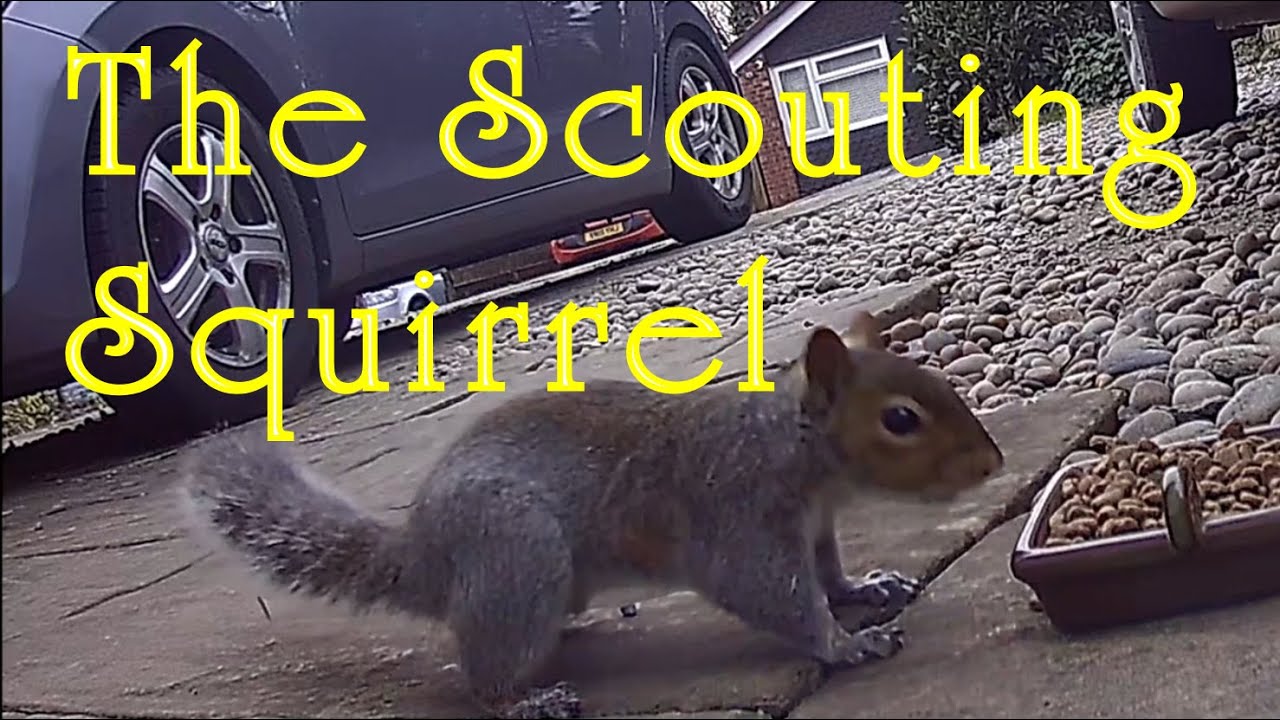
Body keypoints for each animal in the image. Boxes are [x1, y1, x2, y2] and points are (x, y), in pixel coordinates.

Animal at [179, 309, 1004, 719]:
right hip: (520, 554)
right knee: (477, 673)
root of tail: (424, 555)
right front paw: (847, 644)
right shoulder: (736, 514)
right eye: (900, 421)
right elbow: (778, 598)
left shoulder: (817, 525)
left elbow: (829, 575)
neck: (791, 445)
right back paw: (525, 700)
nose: (992, 464)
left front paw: (868, 589)